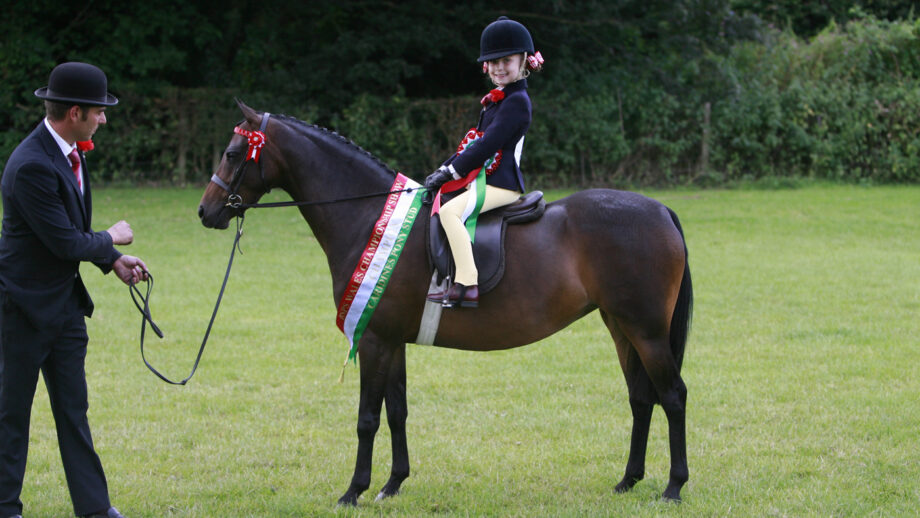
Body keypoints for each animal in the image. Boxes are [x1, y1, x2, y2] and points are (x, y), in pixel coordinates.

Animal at [198, 101, 693, 505]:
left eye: (234, 153)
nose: (206, 212)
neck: (367, 217)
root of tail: (661, 210)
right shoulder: (391, 340)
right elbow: (396, 410)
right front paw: (392, 484)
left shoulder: (373, 339)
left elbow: (367, 418)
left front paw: (353, 491)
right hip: (620, 326)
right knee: (641, 397)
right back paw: (628, 481)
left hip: (646, 331)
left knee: (672, 395)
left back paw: (673, 487)